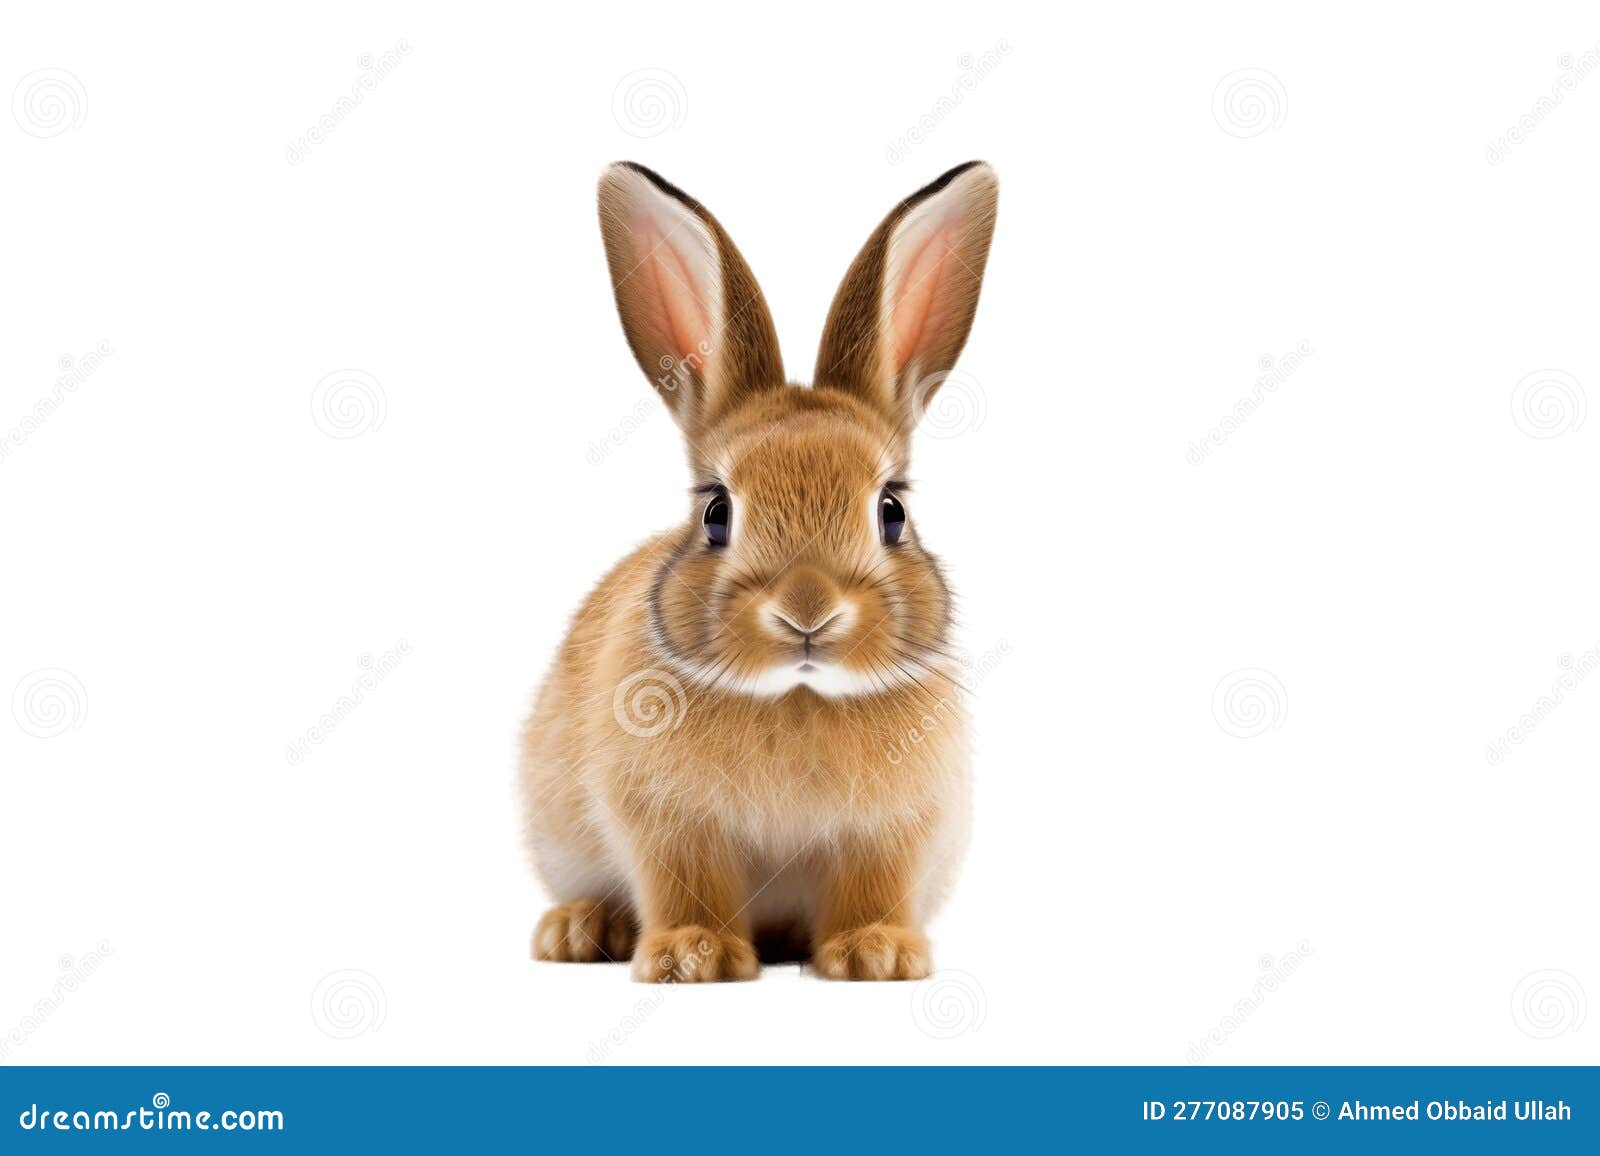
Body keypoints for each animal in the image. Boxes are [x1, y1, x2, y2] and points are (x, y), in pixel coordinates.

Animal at [519, 160, 997, 981]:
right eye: (717, 512)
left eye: (891, 511)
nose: (807, 610)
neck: (795, 696)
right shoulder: (670, 823)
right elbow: (690, 885)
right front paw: (693, 955)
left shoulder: (889, 831)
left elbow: (872, 886)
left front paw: (877, 953)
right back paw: (578, 931)